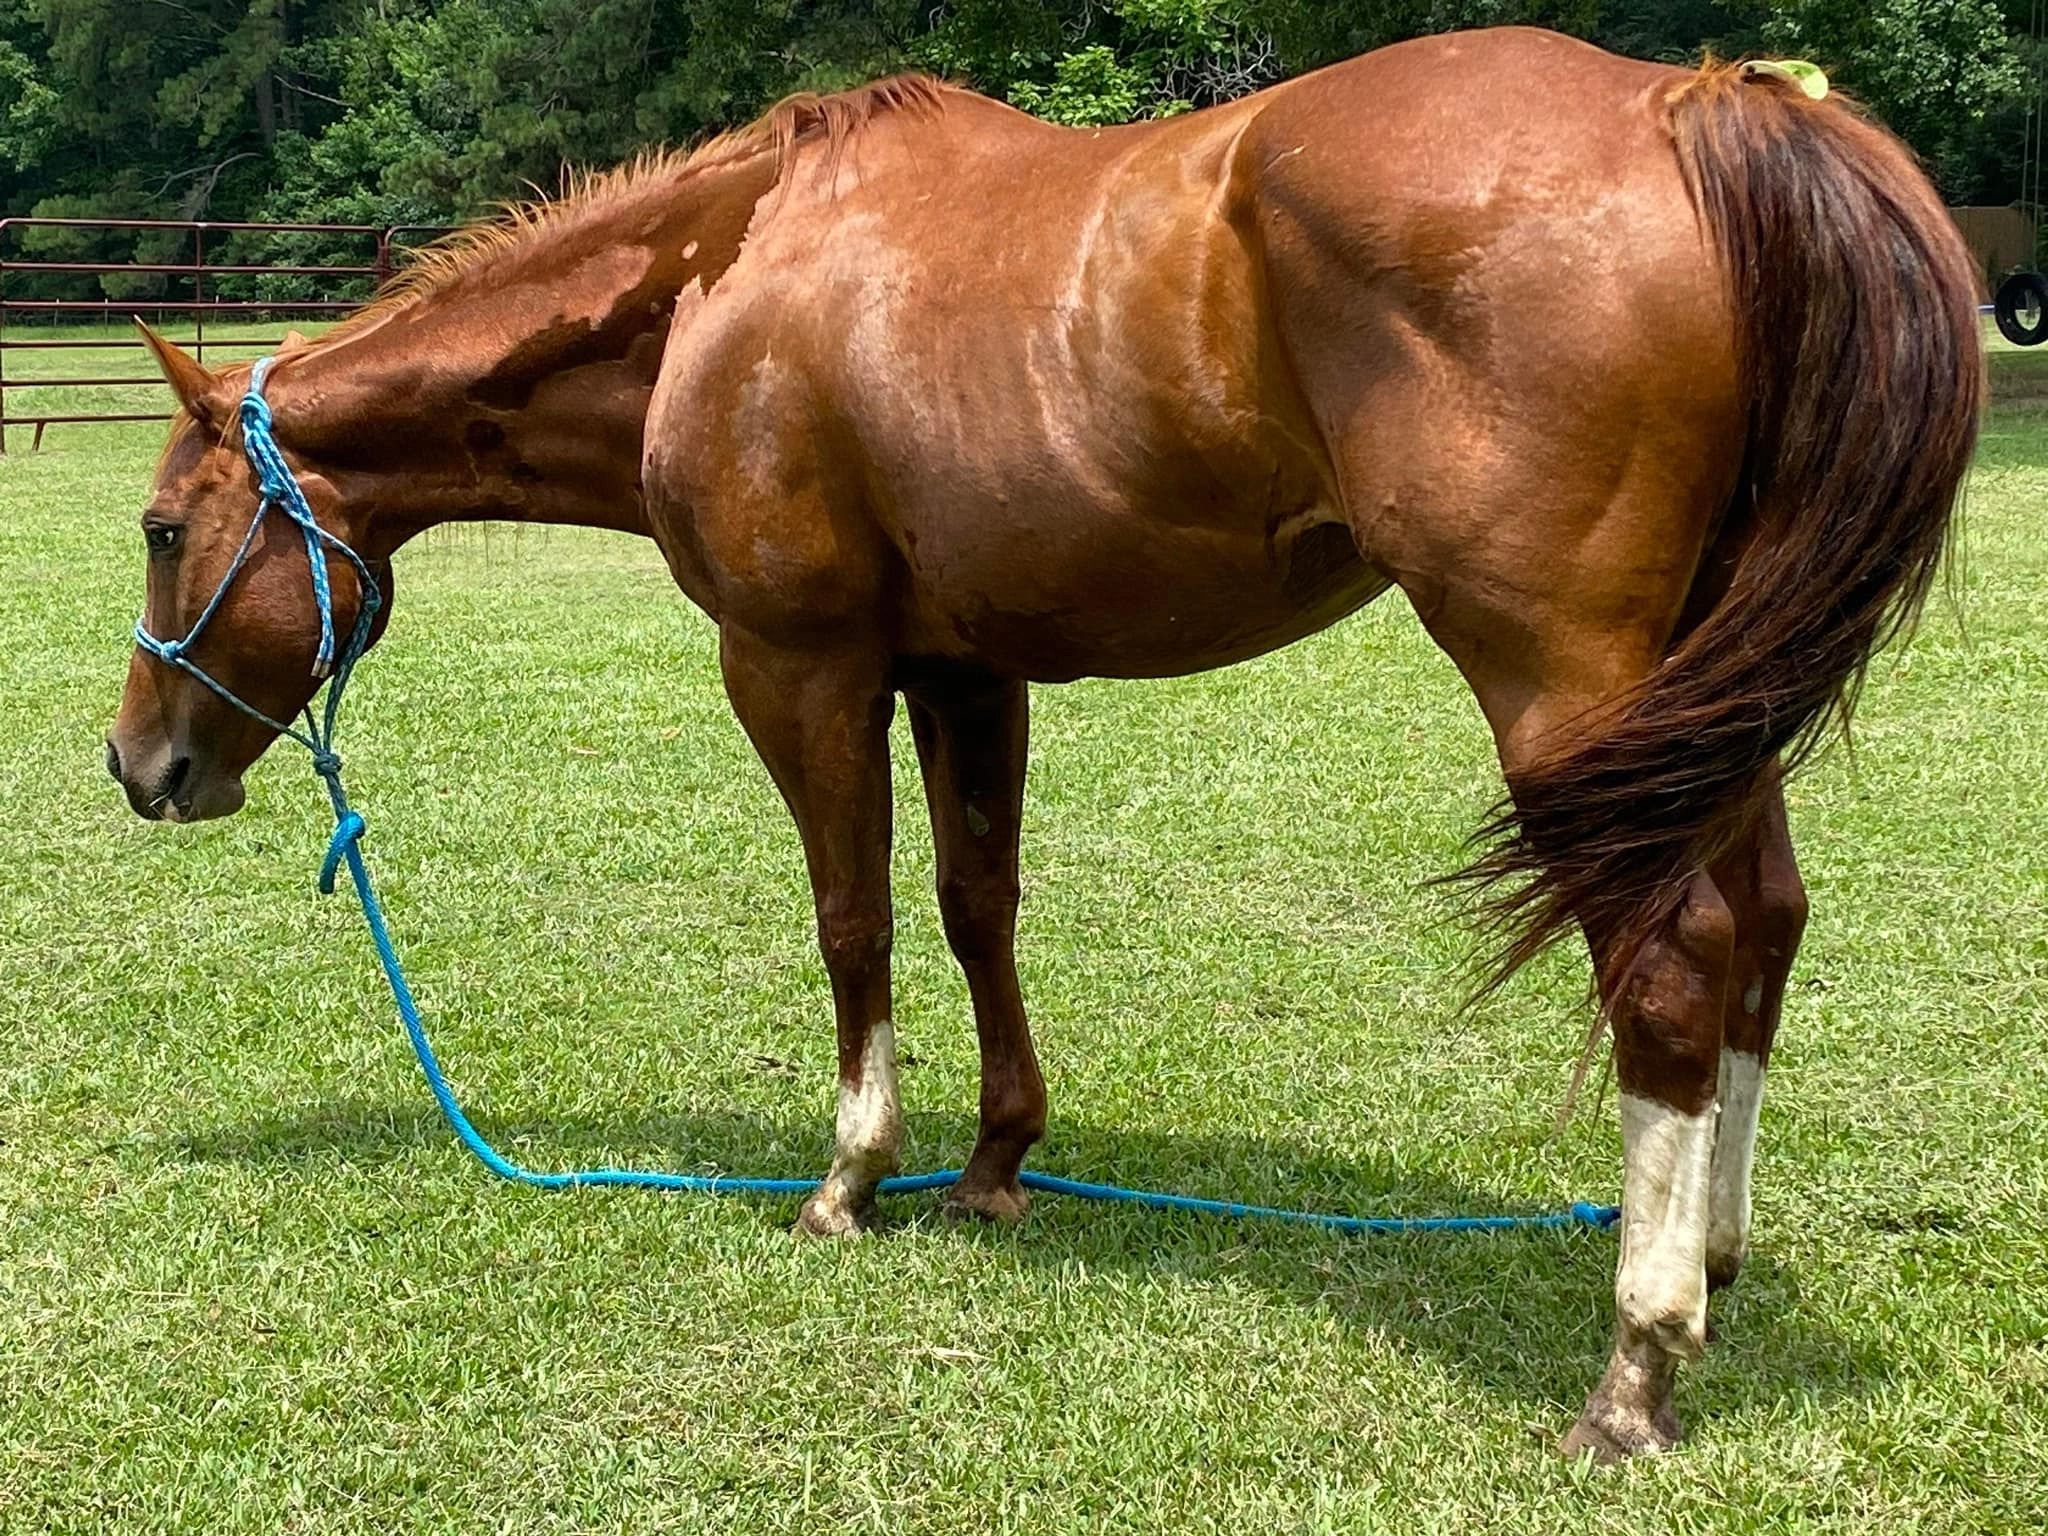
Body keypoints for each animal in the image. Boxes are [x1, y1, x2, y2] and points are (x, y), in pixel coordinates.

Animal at [107, 27, 1981, 1459]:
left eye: (156, 528)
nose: (142, 769)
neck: (728, 276)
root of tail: (1692, 105)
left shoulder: (795, 667)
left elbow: (853, 917)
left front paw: (852, 1175)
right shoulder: (962, 669)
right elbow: (974, 905)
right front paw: (998, 1162)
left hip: (1572, 695)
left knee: (1673, 961)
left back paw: (1636, 1360)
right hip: (1704, 694)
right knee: (1765, 928)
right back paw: (1712, 1260)